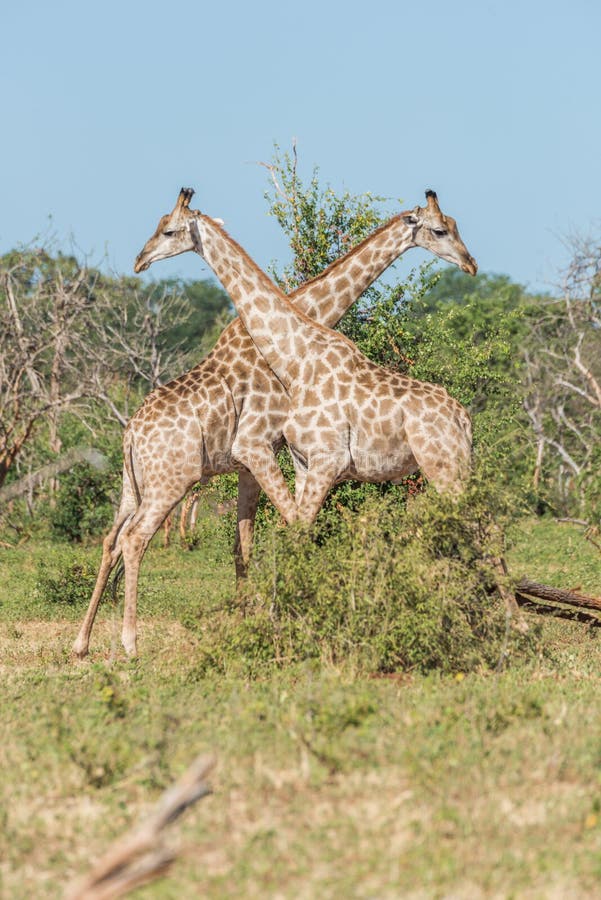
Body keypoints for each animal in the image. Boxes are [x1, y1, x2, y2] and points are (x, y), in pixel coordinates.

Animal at [72, 188, 476, 657]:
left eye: (166, 228)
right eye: (441, 230)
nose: (470, 263)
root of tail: (130, 433)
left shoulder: (253, 459)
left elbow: (244, 544)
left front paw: (253, 618)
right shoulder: (257, 446)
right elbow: (276, 531)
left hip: (132, 484)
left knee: (110, 539)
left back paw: (82, 642)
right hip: (168, 482)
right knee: (133, 539)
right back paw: (129, 642)